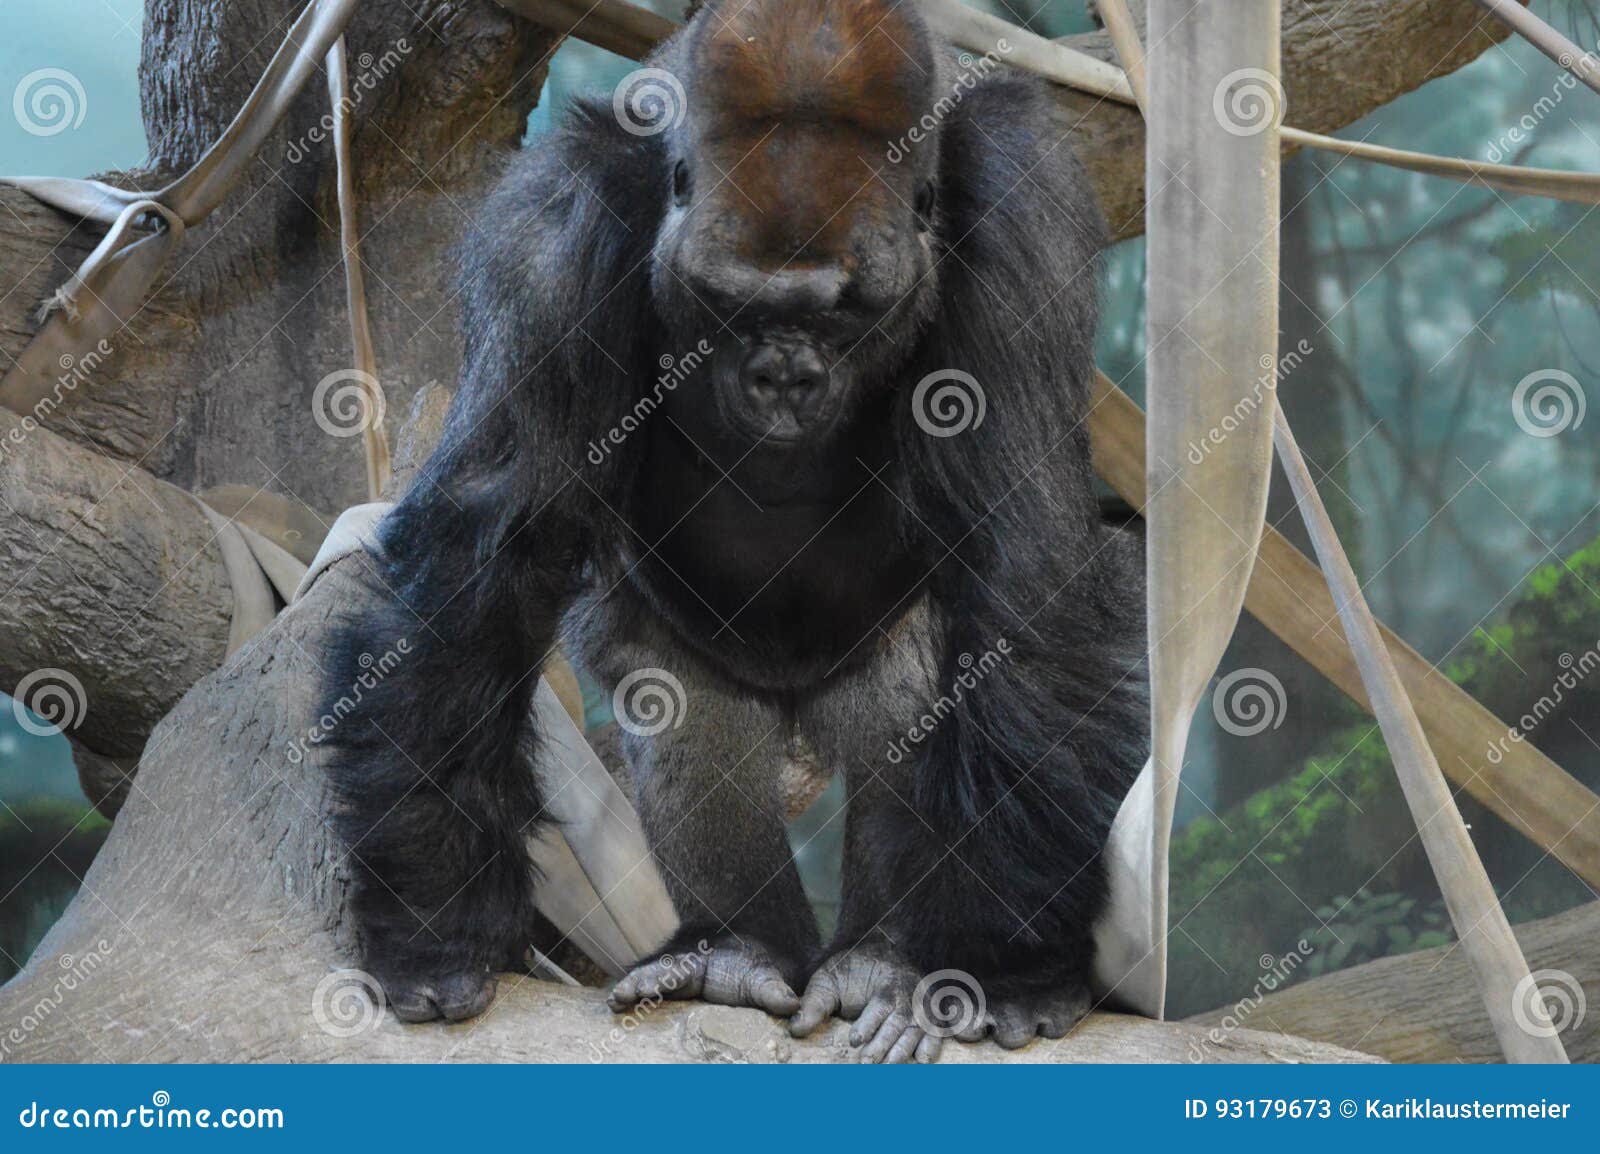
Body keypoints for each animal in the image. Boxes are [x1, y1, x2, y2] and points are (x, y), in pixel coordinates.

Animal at [318, 0, 1147, 1063]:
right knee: (678, 697)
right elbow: (485, 541)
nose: (784, 379)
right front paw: (433, 923)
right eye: (735, 307)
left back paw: (884, 961)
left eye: (842, 315)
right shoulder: (552, 226)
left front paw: (1007, 966)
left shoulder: (1021, 207)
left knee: (918, 683)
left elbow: (1028, 567)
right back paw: (737, 951)